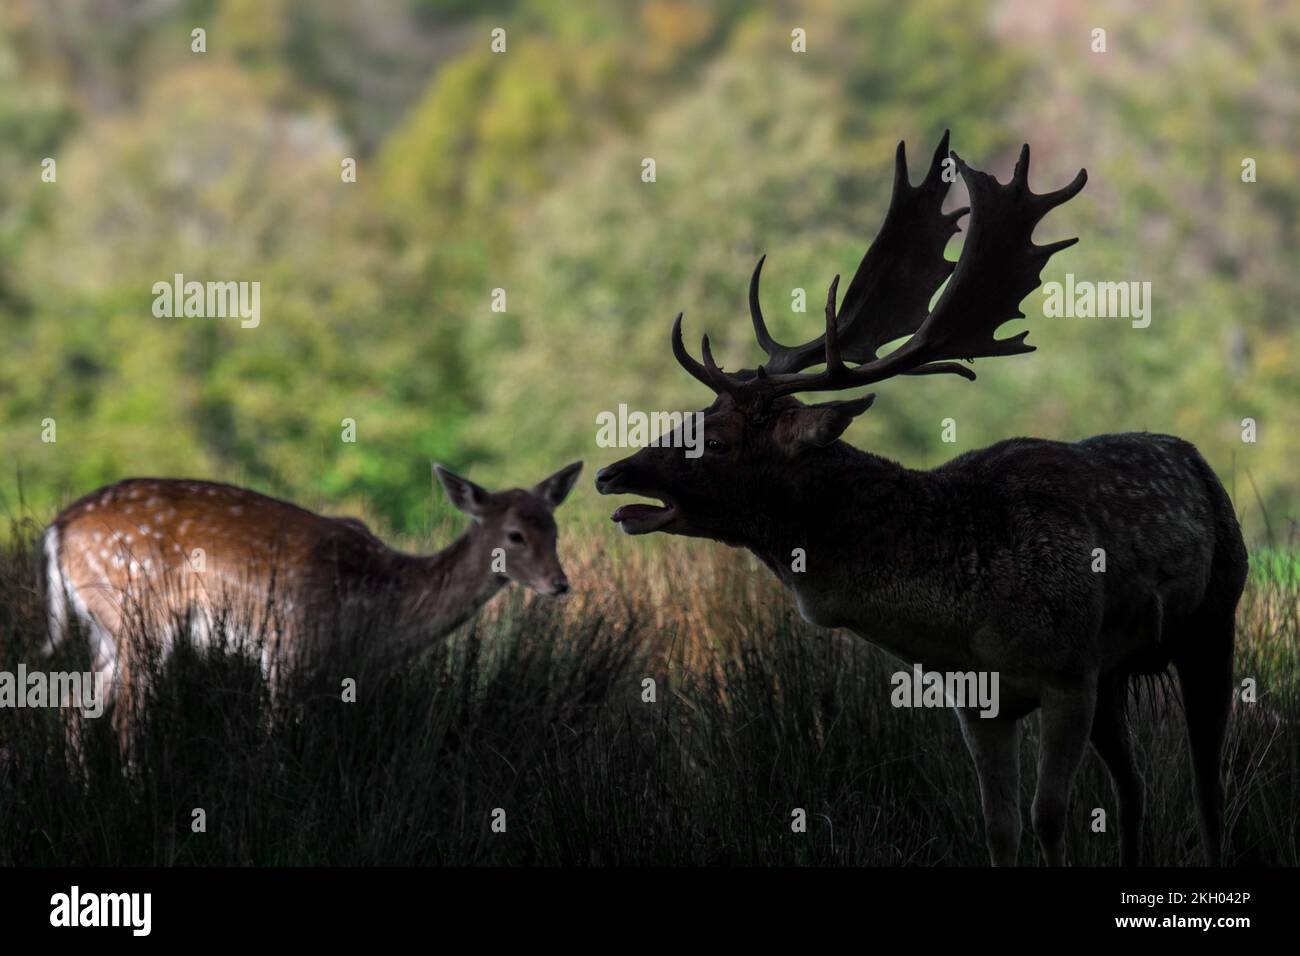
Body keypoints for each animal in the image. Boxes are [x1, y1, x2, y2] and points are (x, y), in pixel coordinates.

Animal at [41, 462, 584, 749]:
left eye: (554, 529)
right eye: (515, 535)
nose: (560, 584)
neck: (380, 610)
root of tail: (58, 529)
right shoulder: (288, 645)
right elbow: (276, 734)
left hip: (108, 626)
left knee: (73, 704)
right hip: (141, 613)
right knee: (127, 715)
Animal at [595, 132, 1248, 866]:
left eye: (718, 439)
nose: (613, 473)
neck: (969, 617)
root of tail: (1197, 458)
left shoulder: (1069, 672)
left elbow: (1049, 817)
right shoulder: (983, 699)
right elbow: (999, 826)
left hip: (1214, 618)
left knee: (1206, 784)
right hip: (1118, 677)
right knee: (1134, 786)